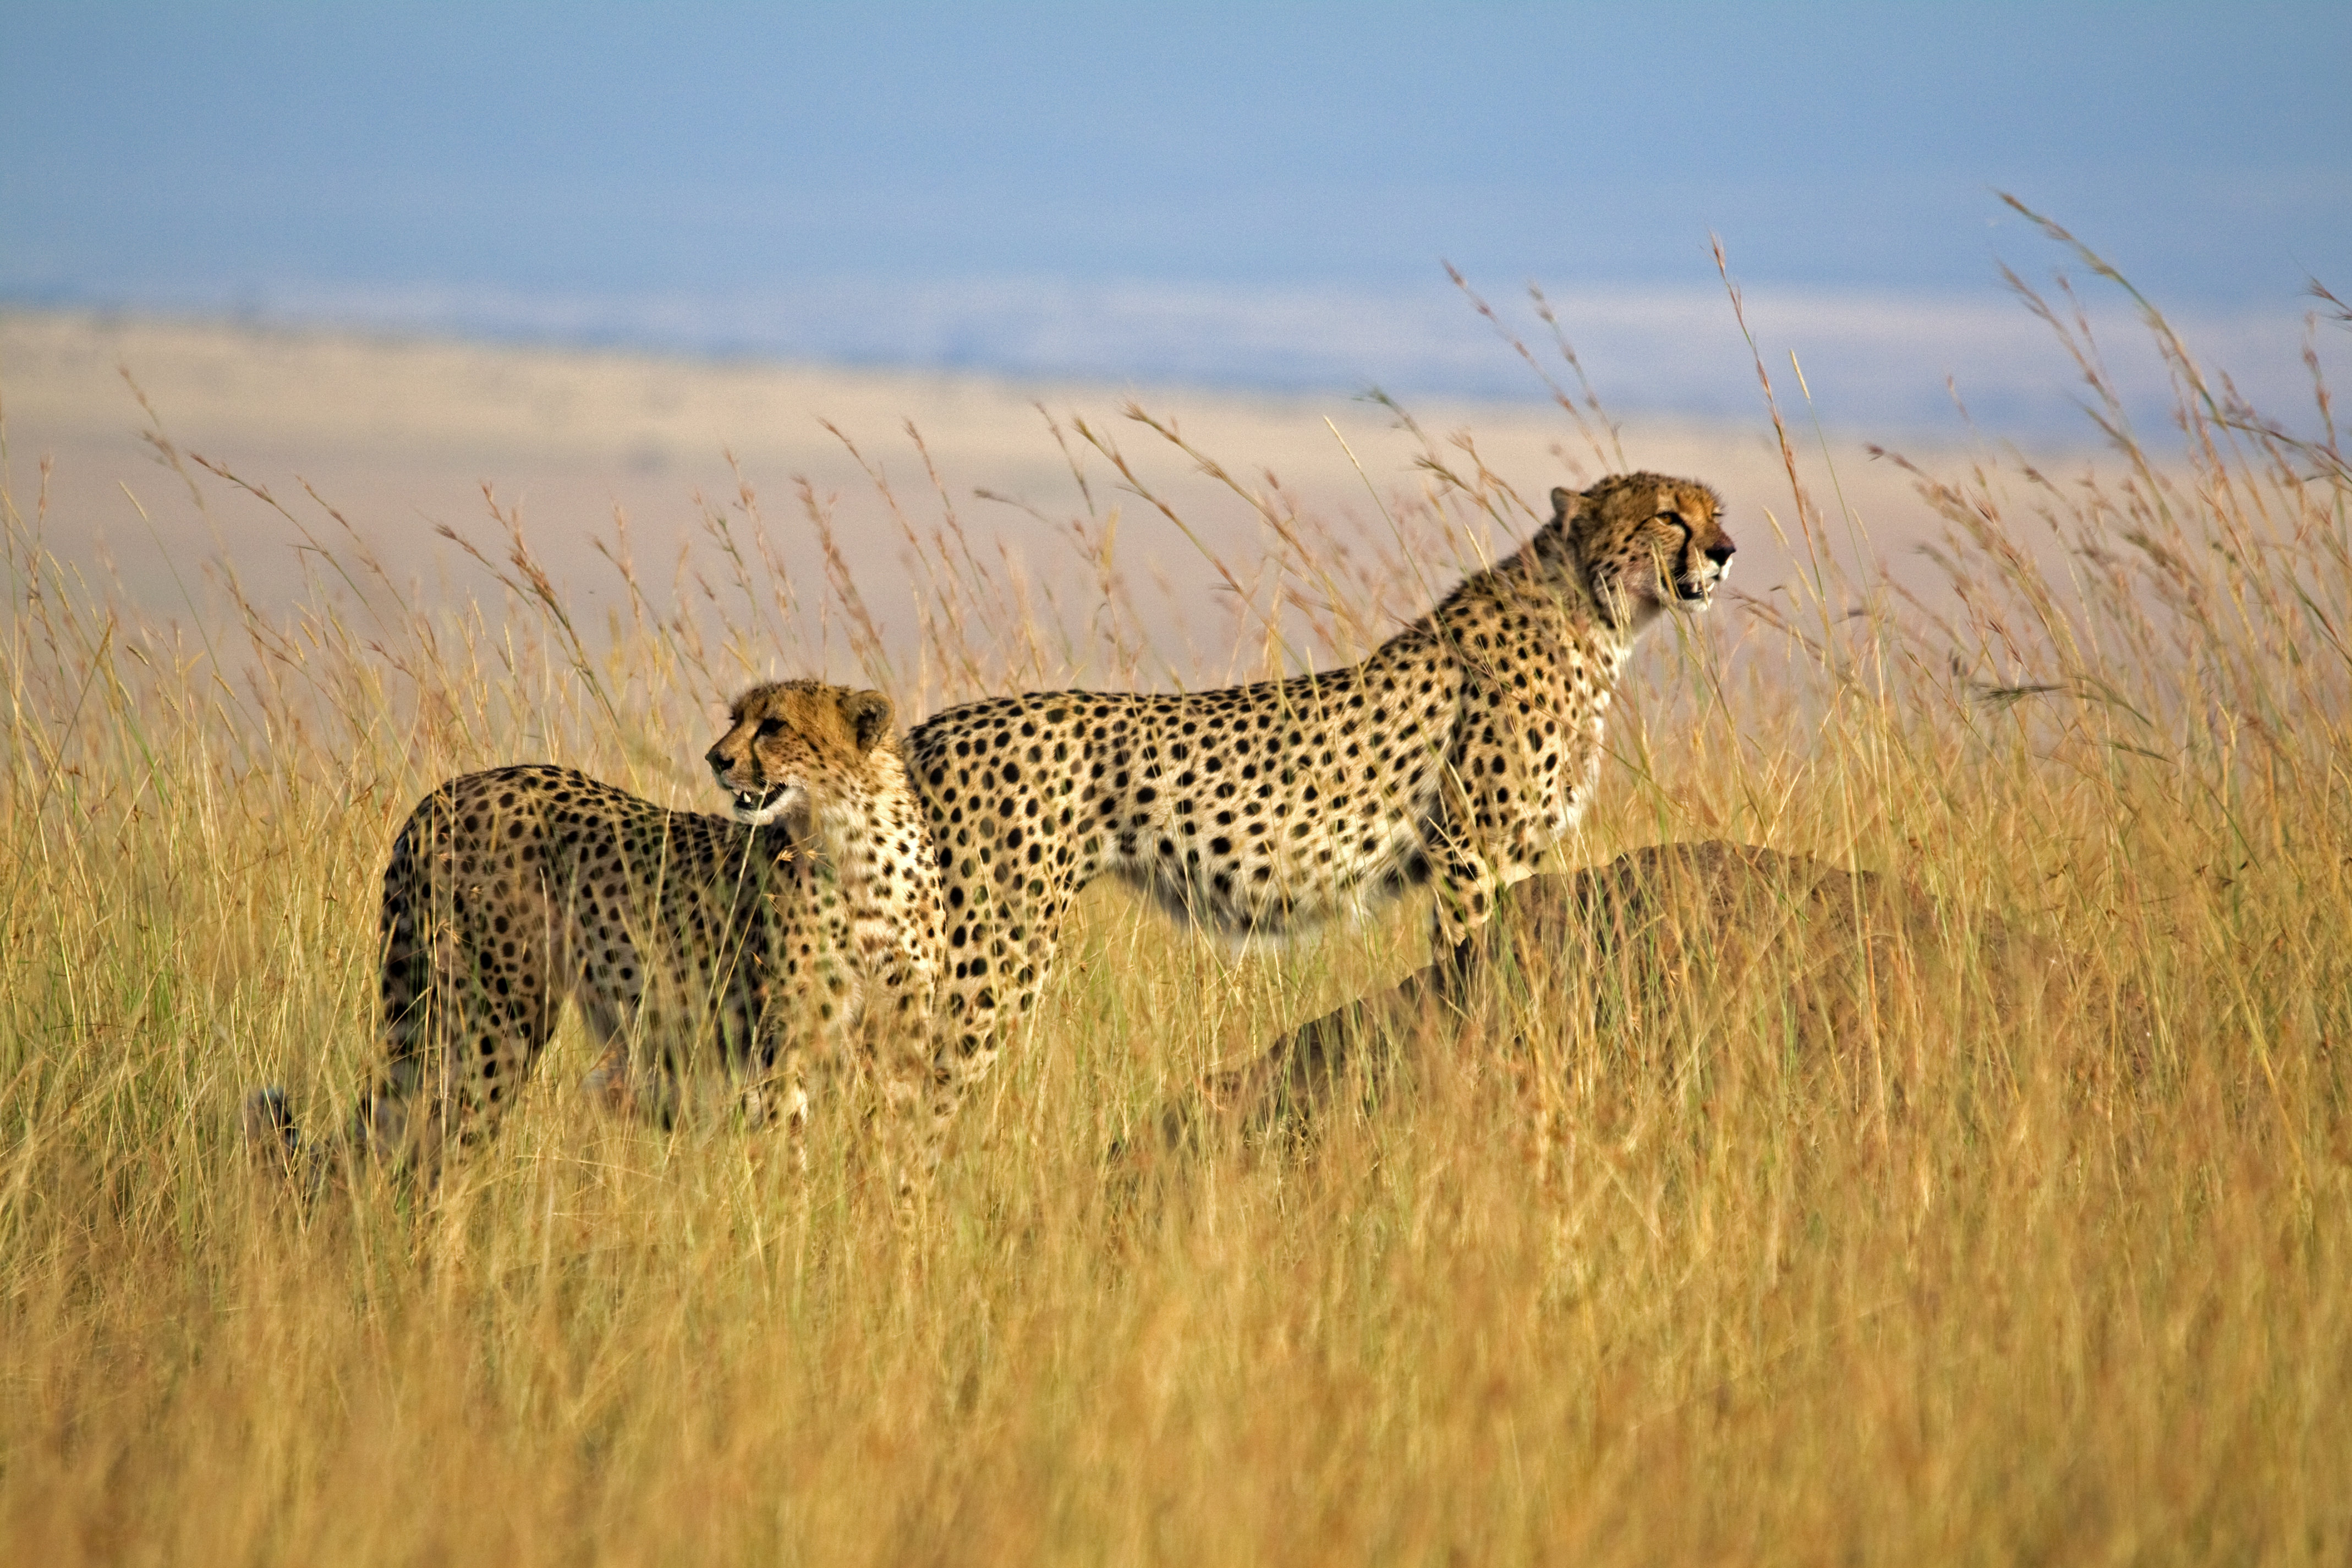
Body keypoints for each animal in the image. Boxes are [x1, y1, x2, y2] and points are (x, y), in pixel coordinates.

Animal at [245, 680, 943, 1185]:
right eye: (737, 719)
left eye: (773, 725)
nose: (717, 759)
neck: (855, 845)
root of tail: (447, 792)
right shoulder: (784, 1047)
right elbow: (788, 1155)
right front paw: (791, 1247)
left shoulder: (899, 1041)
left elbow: (903, 1154)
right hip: (496, 1021)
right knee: (439, 1152)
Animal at [899, 470, 1733, 1124]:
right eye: (1668, 515)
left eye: (1713, 512)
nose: (1725, 553)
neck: (1591, 613)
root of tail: (928, 729)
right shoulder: (1472, 853)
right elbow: (1468, 964)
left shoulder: (1510, 860)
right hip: (995, 938)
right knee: (912, 1081)